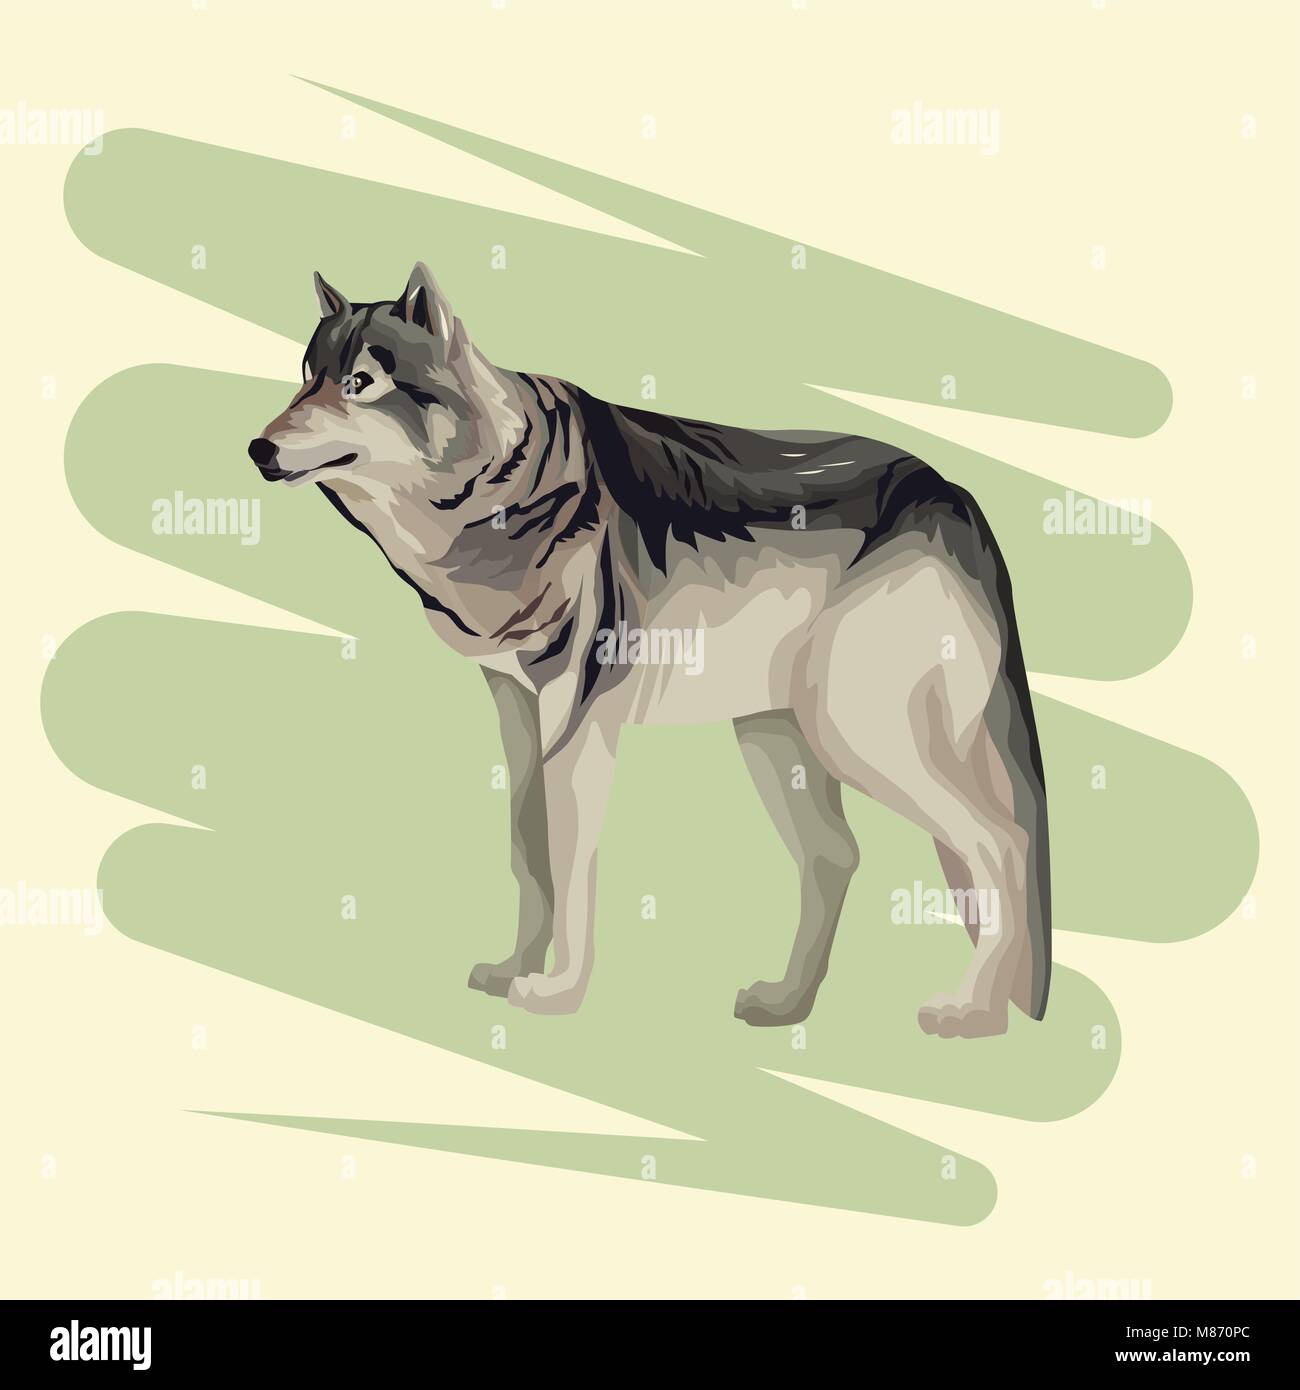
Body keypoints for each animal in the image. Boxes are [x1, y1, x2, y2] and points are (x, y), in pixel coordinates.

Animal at [248, 264, 1050, 1038]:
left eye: (361, 383)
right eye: (305, 376)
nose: (258, 448)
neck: (499, 487)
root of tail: (955, 492)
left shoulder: (576, 723)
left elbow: (571, 864)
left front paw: (558, 994)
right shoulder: (517, 712)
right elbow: (527, 854)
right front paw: (513, 972)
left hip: (861, 735)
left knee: (1003, 841)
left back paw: (973, 1012)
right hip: (777, 739)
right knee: (838, 857)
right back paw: (787, 1004)